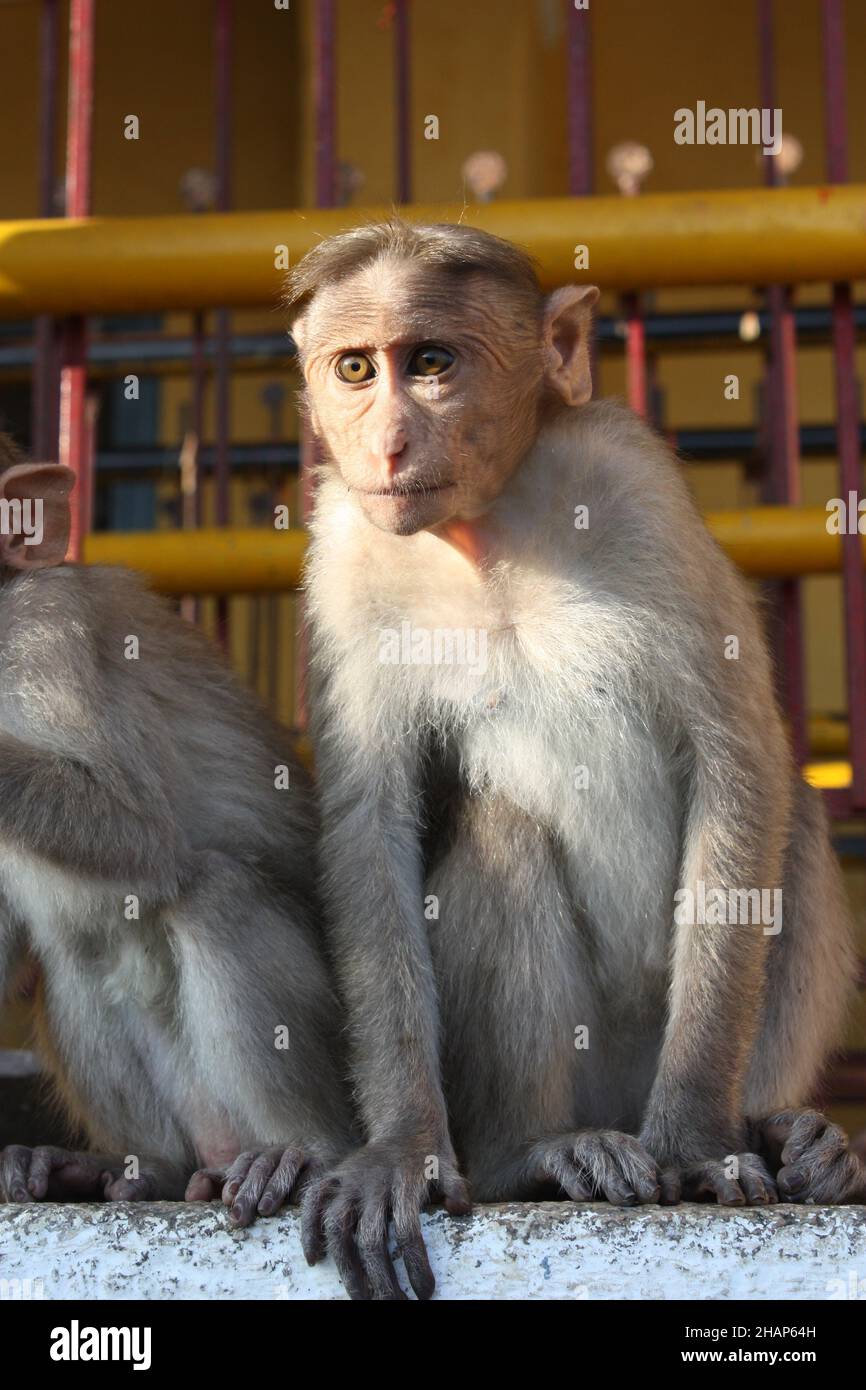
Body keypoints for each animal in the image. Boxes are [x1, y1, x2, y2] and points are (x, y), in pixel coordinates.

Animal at [0, 435, 353, 1226]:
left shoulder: (44, 632)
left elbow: (141, 830)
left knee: (214, 896)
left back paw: (305, 1151)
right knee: (74, 948)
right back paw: (134, 1168)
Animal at [284, 218, 864, 1300]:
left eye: (431, 363)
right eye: (354, 368)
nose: (385, 442)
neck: (483, 533)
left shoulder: (633, 483)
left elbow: (739, 761)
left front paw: (696, 1137)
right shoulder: (344, 552)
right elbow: (368, 824)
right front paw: (405, 1146)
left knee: (796, 819)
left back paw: (786, 1137)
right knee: (504, 833)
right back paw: (539, 1154)